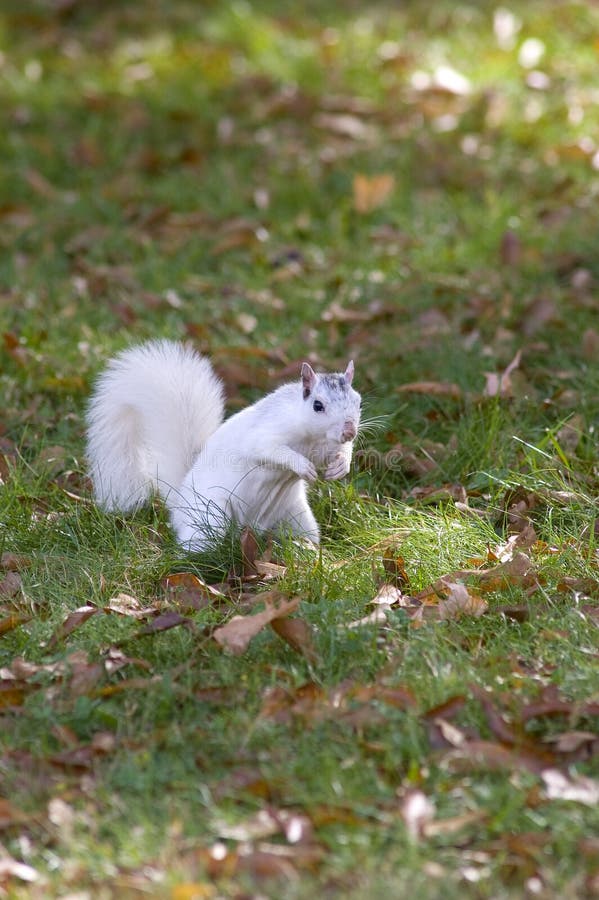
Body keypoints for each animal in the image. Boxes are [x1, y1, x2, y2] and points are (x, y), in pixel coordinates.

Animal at [86, 340, 361, 552]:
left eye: (358, 401)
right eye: (318, 405)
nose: (349, 431)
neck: (314, 438)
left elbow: (340, 453)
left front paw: (341, 466)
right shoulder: (263, 435)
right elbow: (272, 451)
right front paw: (303, 466)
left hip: (295, 518)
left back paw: (307, 549)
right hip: (212, 516)